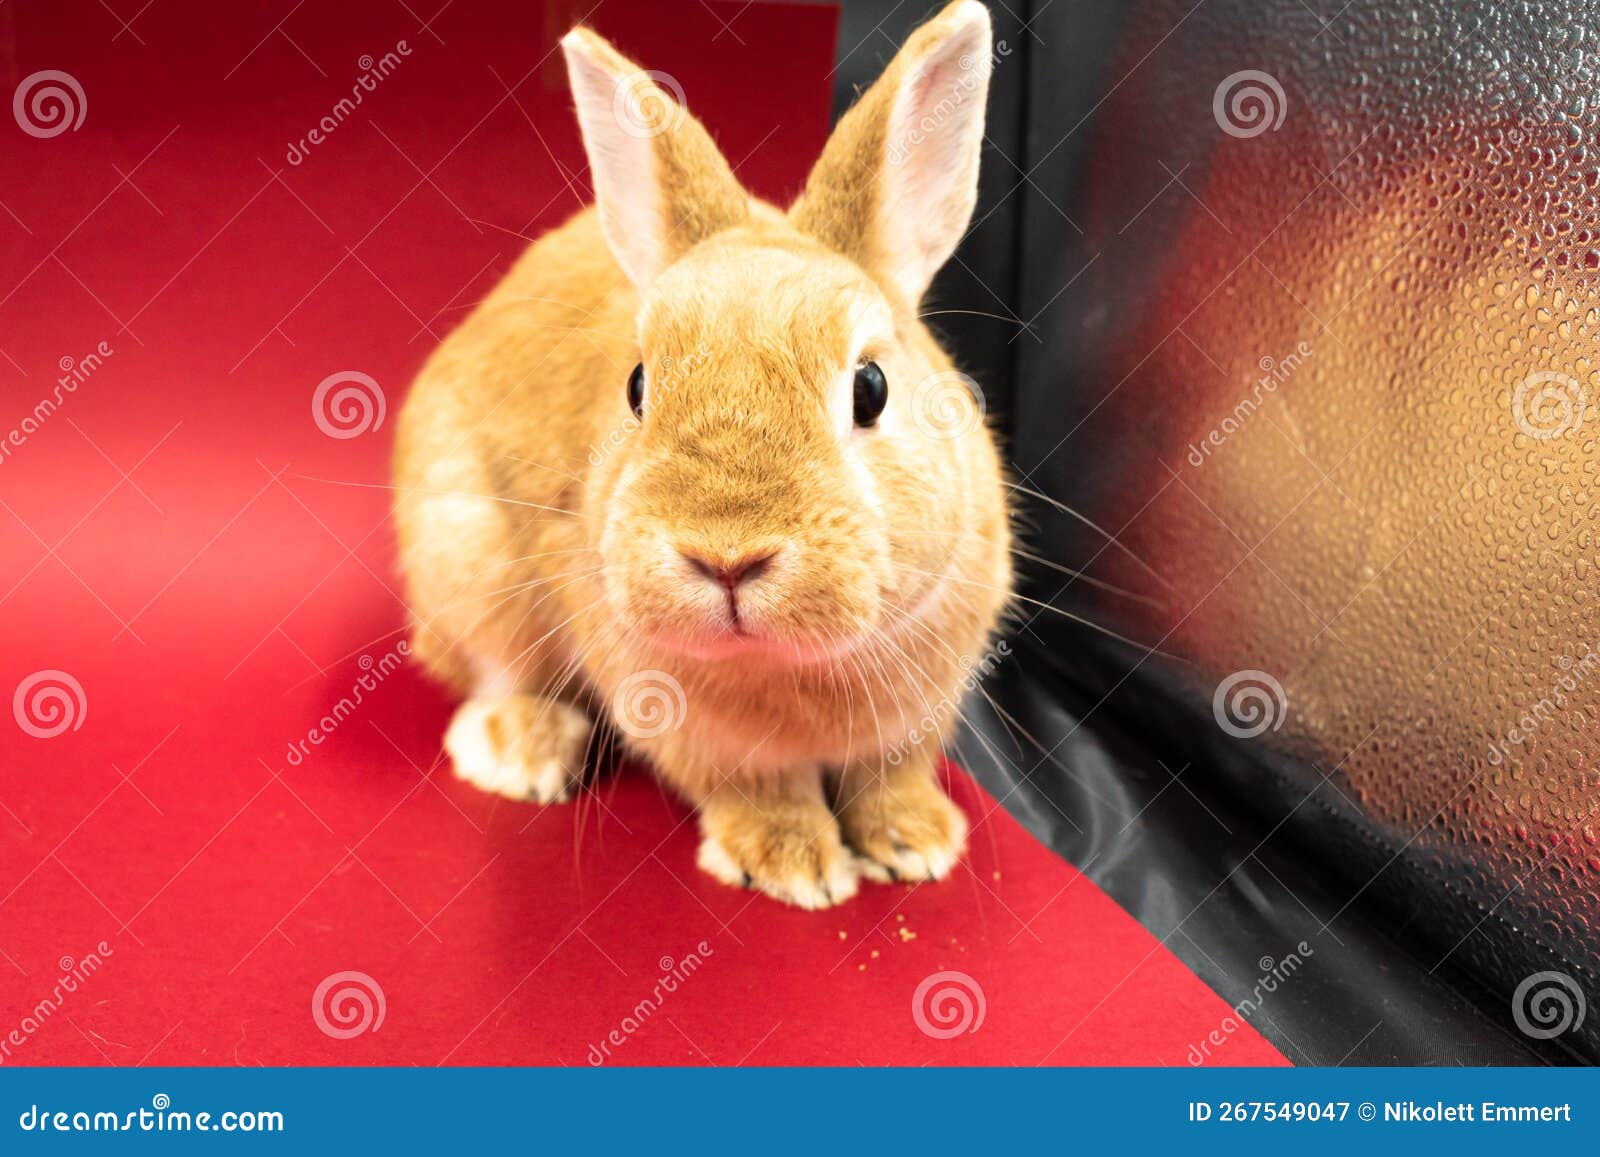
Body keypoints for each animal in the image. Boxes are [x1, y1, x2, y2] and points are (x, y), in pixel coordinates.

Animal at [393, 0, 1013, 909]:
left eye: (870, 387)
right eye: (637, 386)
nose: (727, 557)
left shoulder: (916, 717)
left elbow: (888, 776)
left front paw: (919, 842)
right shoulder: (697, 733)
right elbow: (755, 788)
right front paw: (794, 865)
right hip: (466, 558)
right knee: (496, 670)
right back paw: (525, 750)